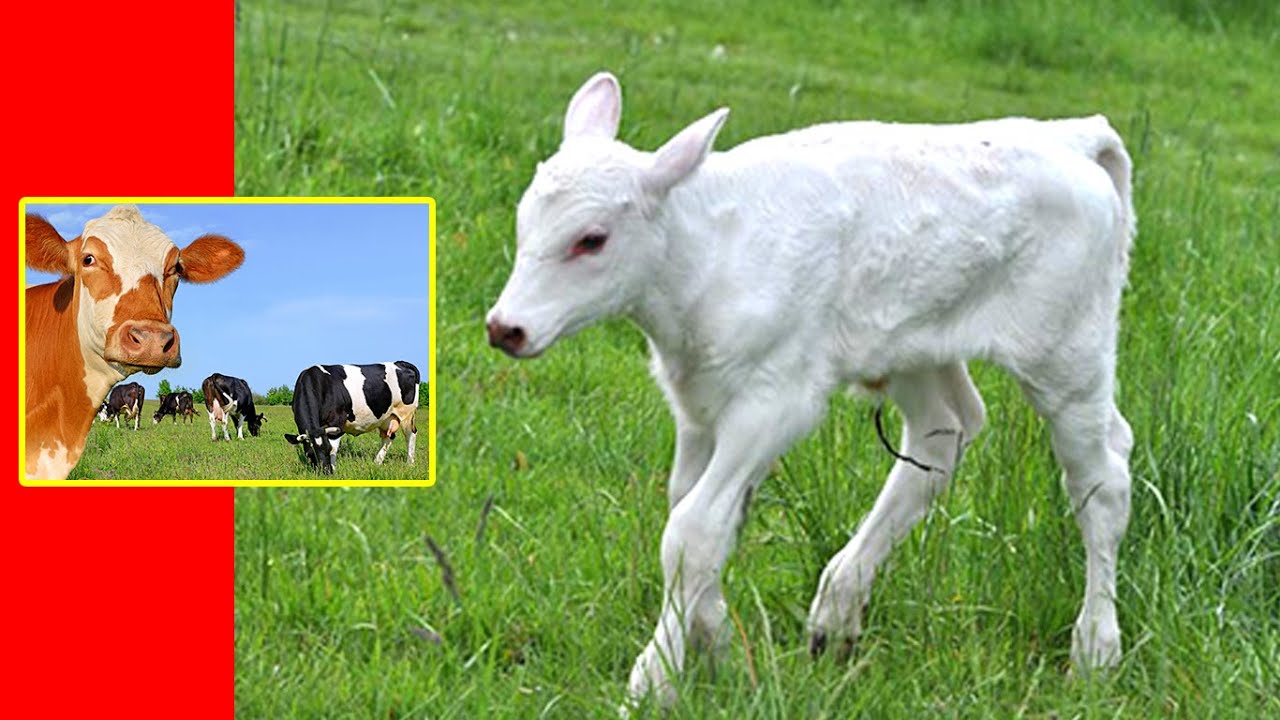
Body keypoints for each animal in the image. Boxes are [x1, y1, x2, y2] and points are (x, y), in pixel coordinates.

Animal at [284, 361, 419, 474]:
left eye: (327, 450)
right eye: (310, 454)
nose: (326, 472)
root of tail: (400, 362)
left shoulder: (337, 421)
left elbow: (335, 447)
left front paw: (334, 469)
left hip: (407, 414)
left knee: (410, 434)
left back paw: (410, 463)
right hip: (387, 418)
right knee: (389, 436)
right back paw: (377, 462)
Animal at [485, 73, 1136, 707]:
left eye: (591, 239)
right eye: (524, 222)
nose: (505, 328)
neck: (705, 257)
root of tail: (1069, 137)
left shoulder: (774, 402)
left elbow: (691, 533)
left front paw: (656, 679)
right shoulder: (697, 407)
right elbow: (698, 517)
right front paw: (719, 645)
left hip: (1068, 351)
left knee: (1101, 478)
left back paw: (1096, 649)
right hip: (916, 344)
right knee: (944, 430)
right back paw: (837, 613)